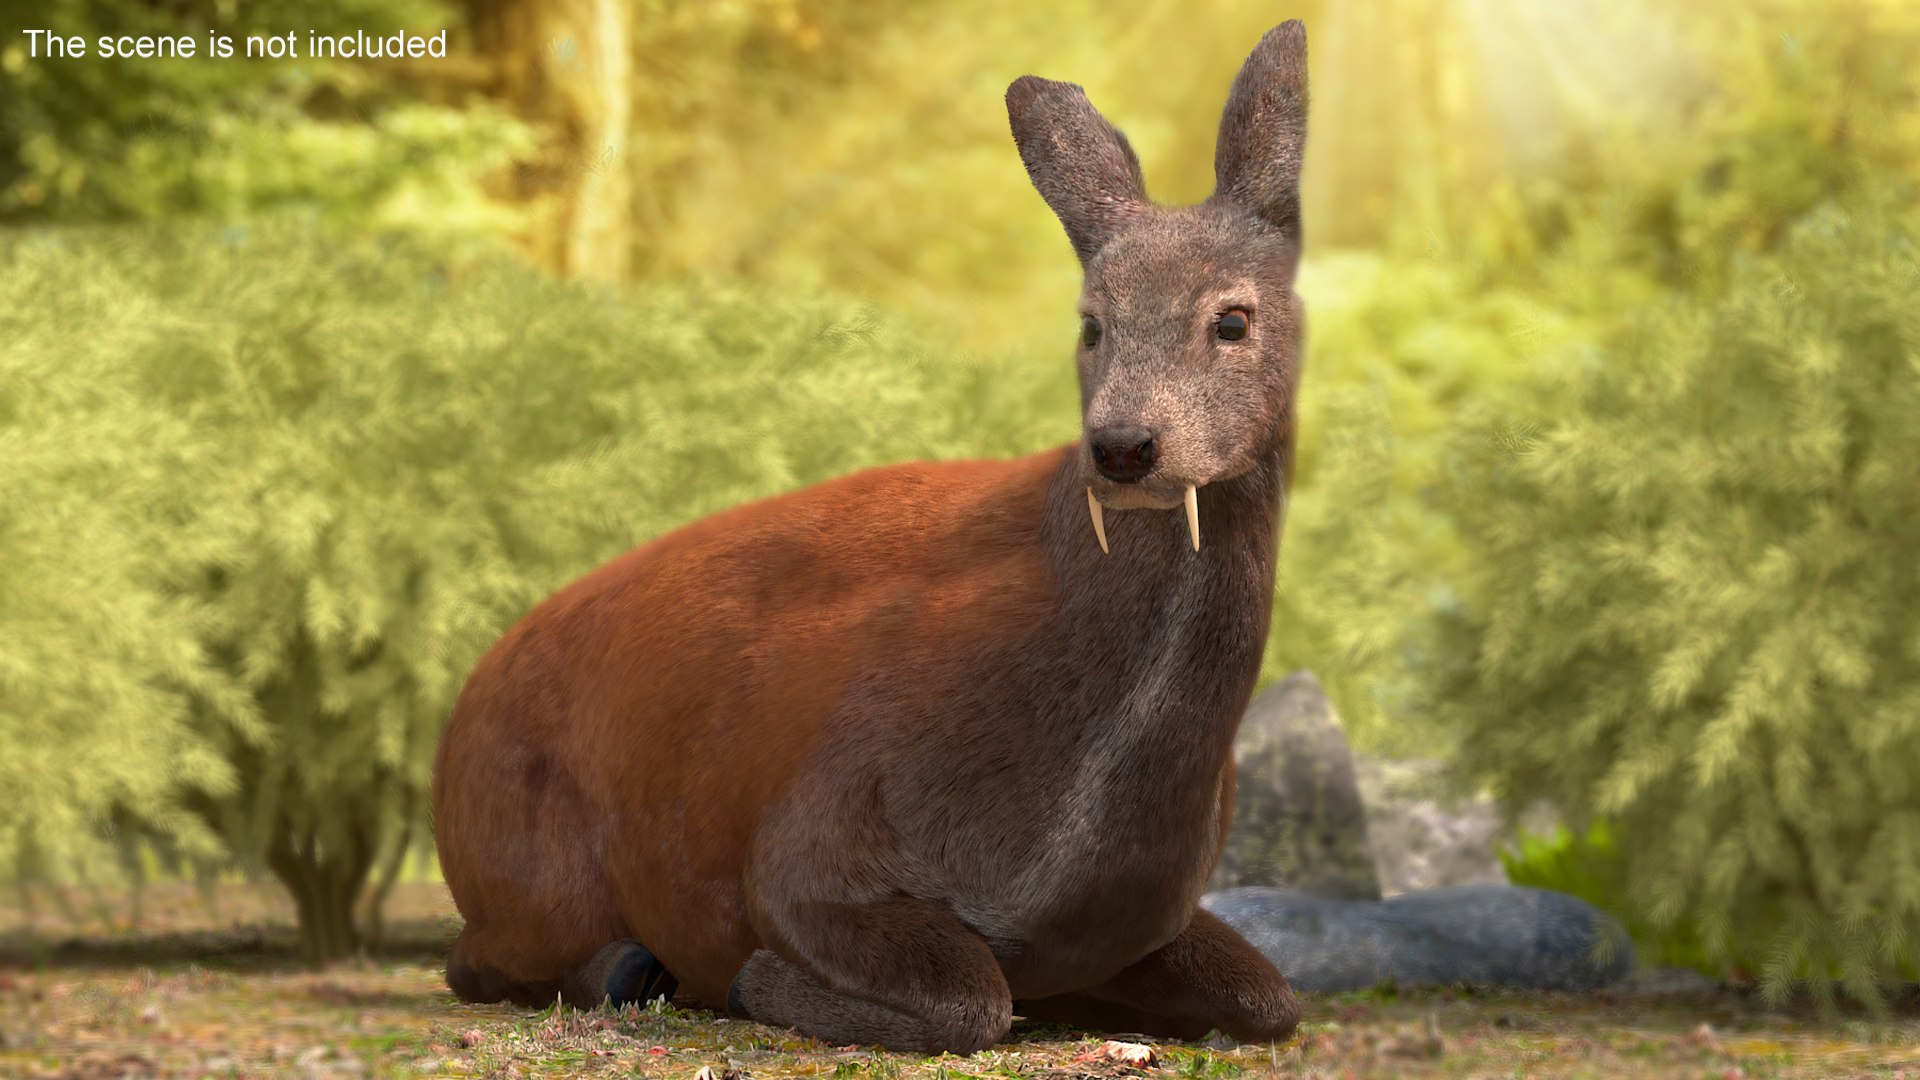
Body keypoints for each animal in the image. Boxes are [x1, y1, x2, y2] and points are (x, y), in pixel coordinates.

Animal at [432, 21, 1311, 1054]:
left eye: (1233, 318)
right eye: (1091, 323)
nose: (1124, 446)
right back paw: (630, 967)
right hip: (534, 875)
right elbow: (968, 998)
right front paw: (752, 983)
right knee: (475, 960)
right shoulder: (814, 830)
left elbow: (1271, 998)